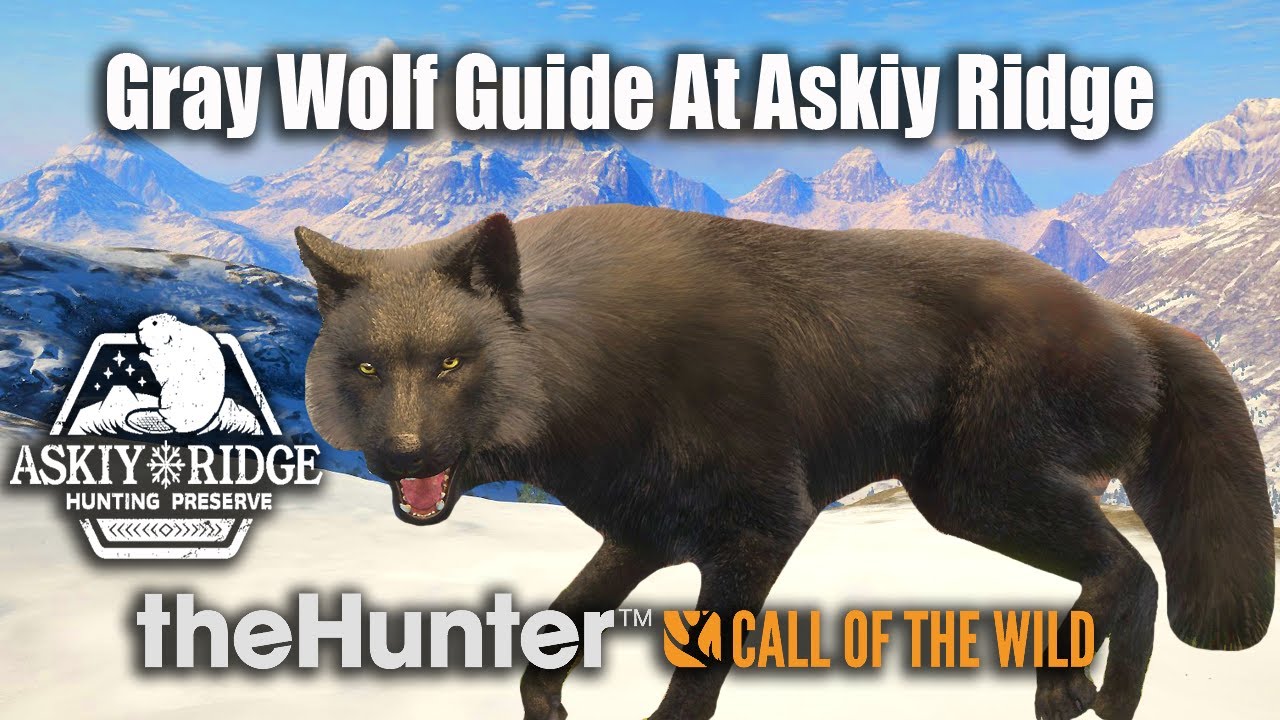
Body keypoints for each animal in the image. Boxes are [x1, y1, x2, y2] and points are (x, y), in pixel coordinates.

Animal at [295, 205, 1273, 720]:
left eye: (452, 364)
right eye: (369, 369)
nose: (404, 457)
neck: (596, 362)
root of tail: (1131, 321)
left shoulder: (760, 531)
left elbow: (692, 687)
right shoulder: (639, 541)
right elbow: (547, 647)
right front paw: (553, 710)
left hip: (976, 493)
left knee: (1131, 572)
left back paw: (1075, 687)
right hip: (978, 497)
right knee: (1134, 577)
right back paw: (1092, 697)